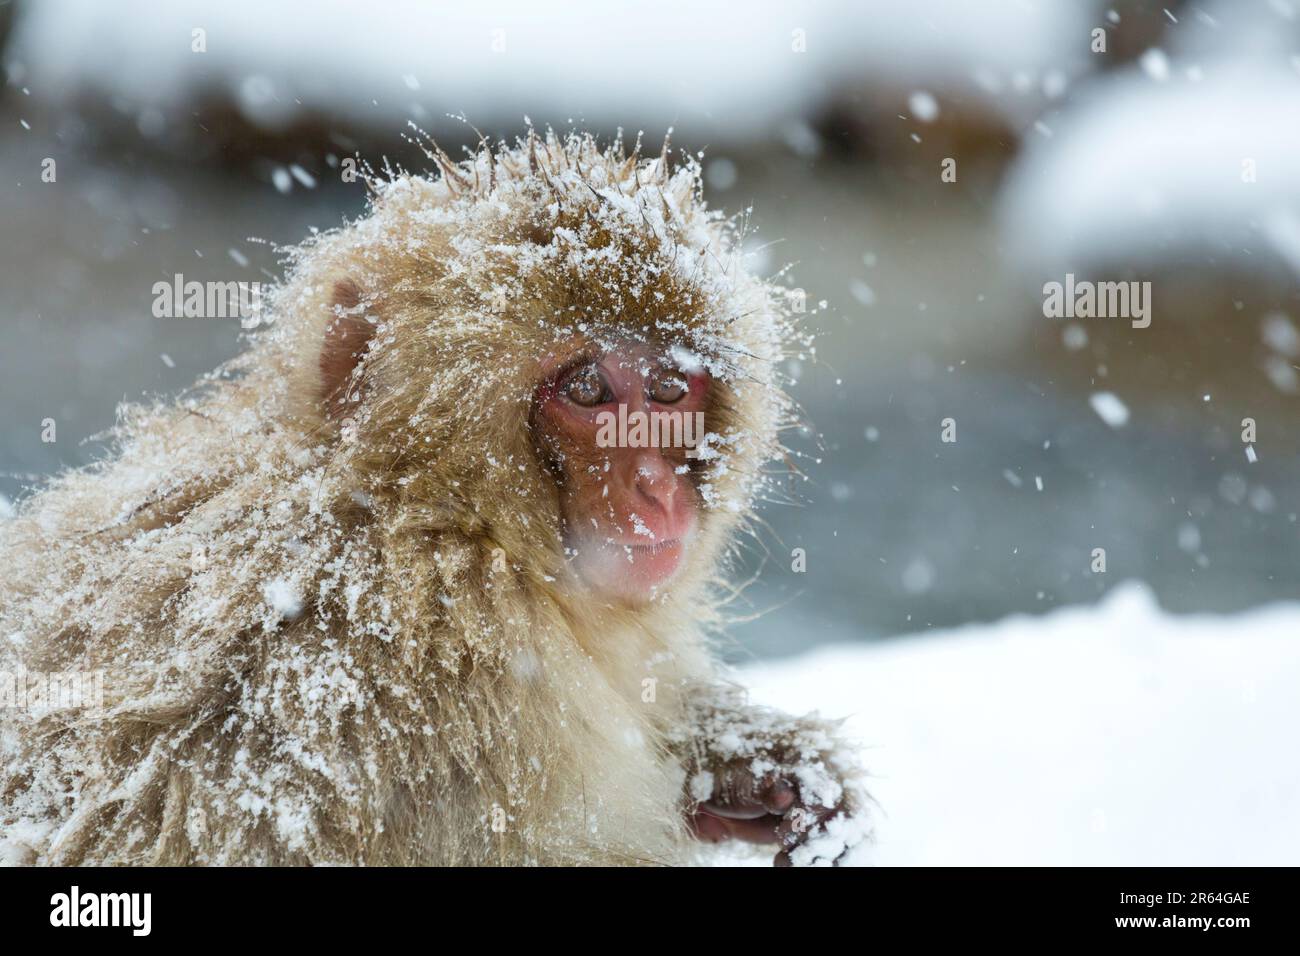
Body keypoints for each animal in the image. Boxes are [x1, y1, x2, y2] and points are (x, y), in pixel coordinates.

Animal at [0, 128, 870, 866]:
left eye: (665, 390)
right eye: (587, 389)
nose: (656, 492)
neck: (416, 513)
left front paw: (768, 774)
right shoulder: (428, 686)